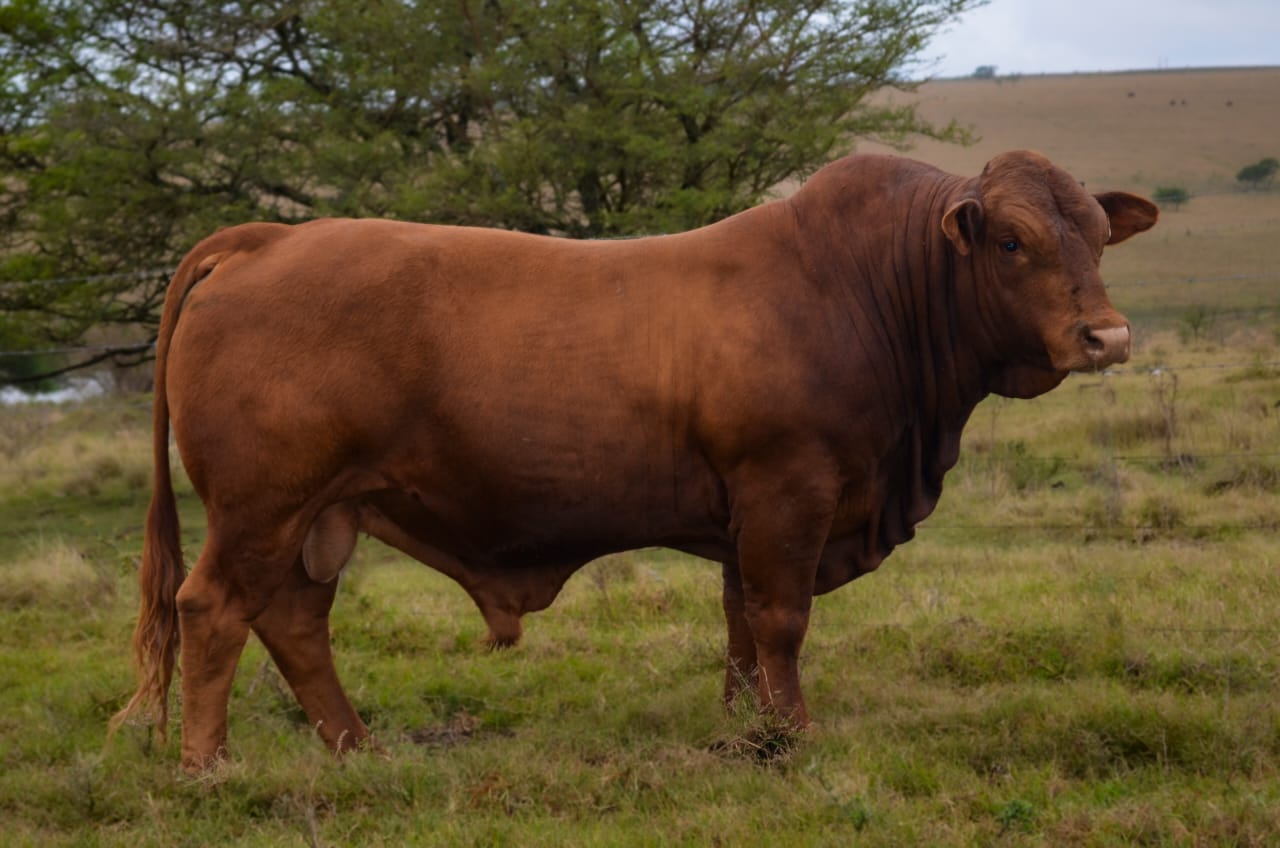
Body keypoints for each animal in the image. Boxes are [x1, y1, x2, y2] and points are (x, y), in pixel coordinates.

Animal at [113, 150, 1157, 771]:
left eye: (1101, 237)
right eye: (1013, 240)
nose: (1107, 336)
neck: (867, 289)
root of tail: (269, 237)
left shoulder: (748, 512)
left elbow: (740, 625)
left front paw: (745, 728)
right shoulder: (790, 488)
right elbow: (781, 622)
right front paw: (795, 737)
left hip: (320, 512)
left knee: (293, 623)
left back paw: (356, 748)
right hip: (261, 506)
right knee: (212, 610)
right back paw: (207, 768)